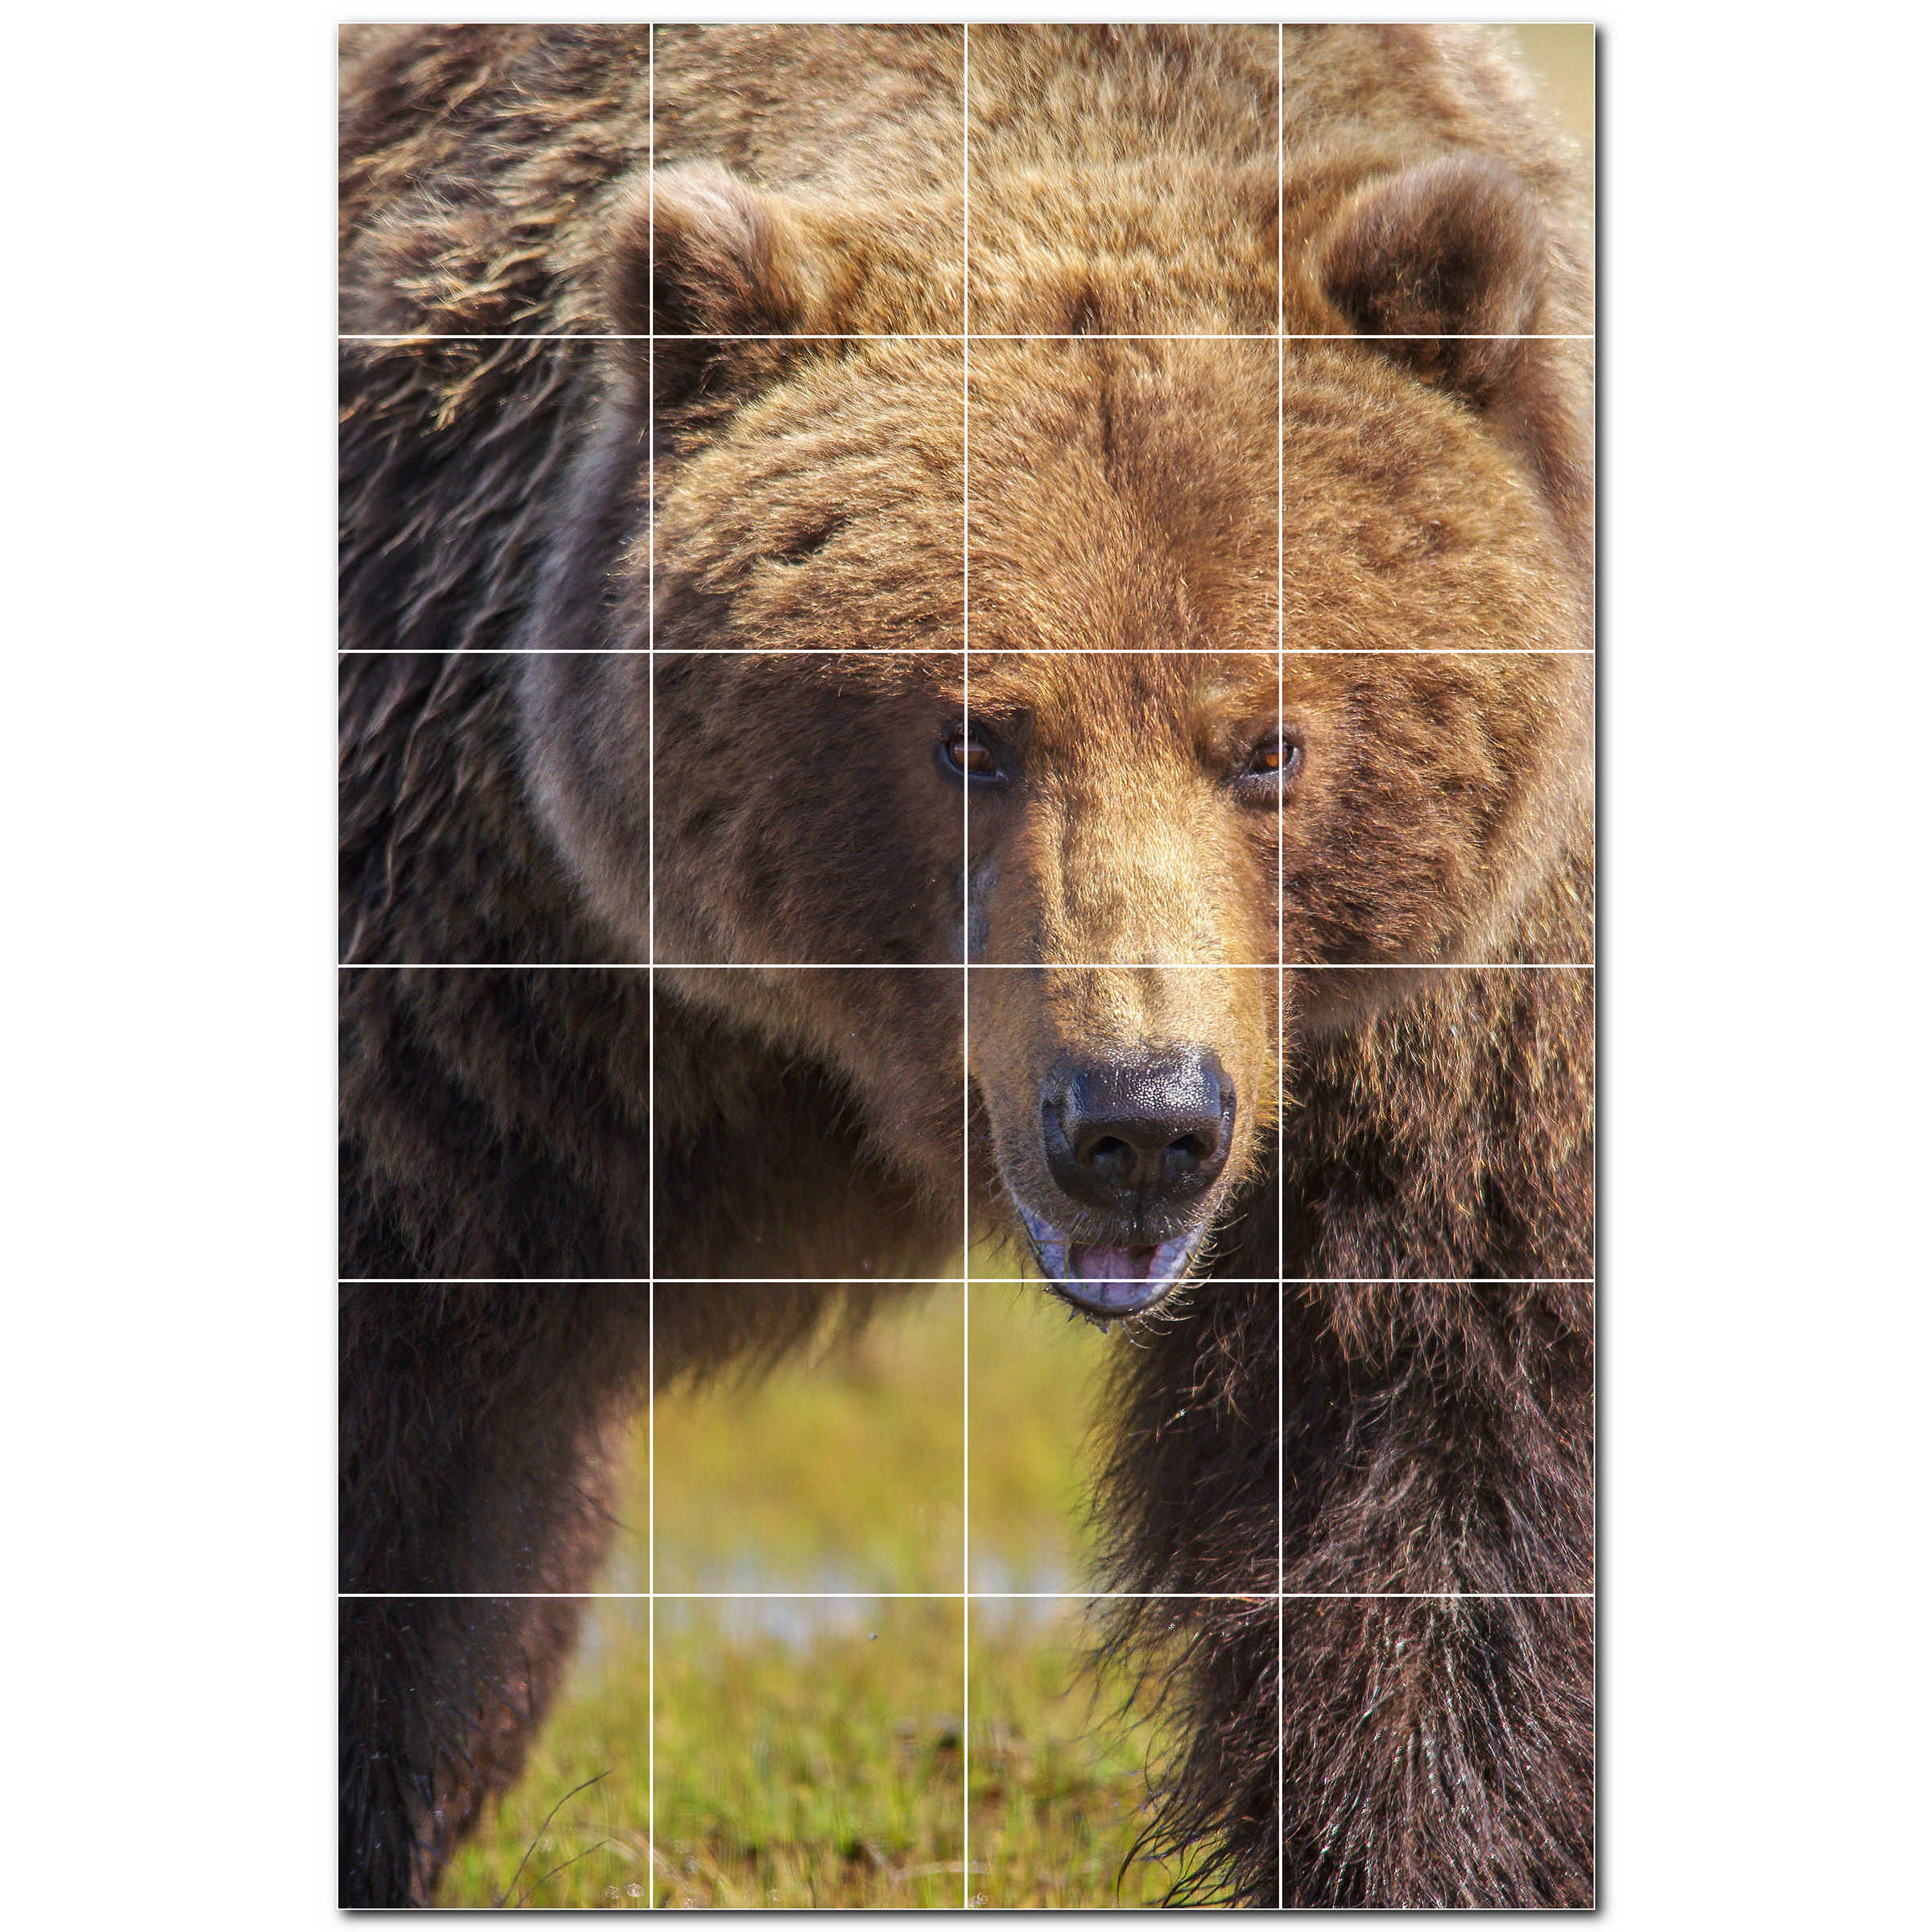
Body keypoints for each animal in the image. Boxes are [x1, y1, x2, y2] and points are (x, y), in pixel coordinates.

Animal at [339, 22, 1593, 1910]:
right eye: (969, 738)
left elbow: (1446, 1438)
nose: (1137, 1122)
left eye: (1271, 744)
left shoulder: (1459, 1038)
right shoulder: (466, 929)